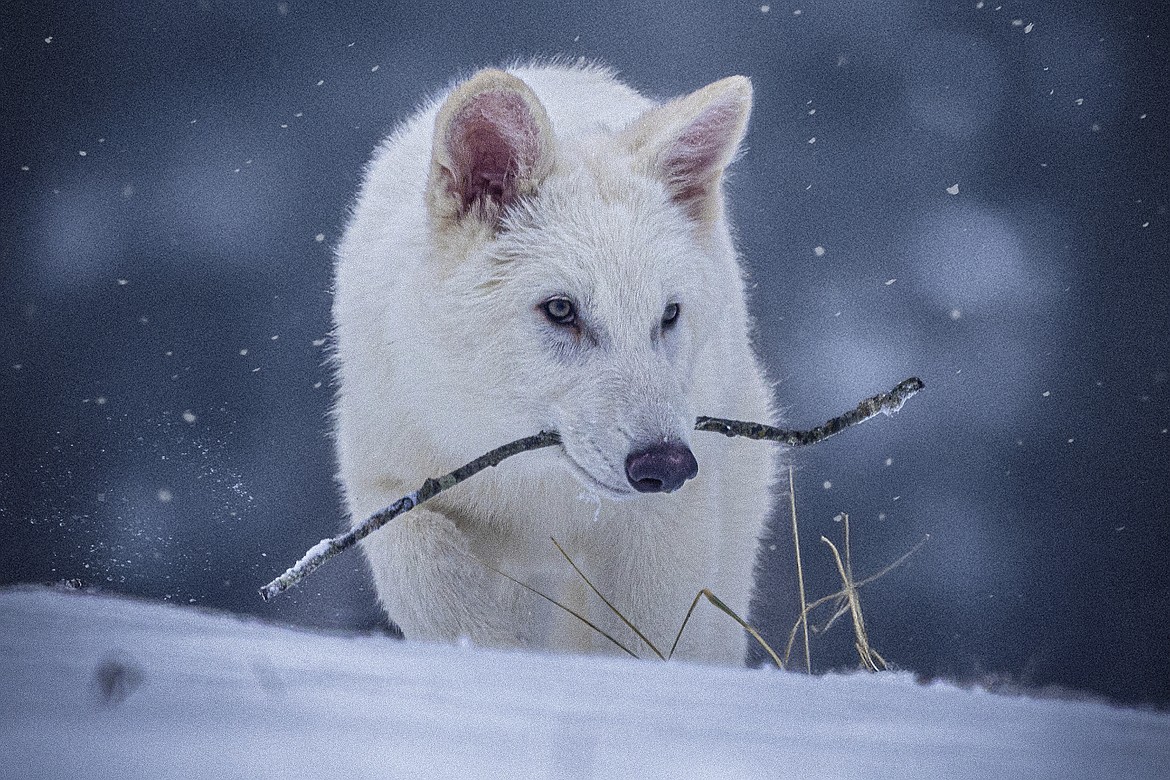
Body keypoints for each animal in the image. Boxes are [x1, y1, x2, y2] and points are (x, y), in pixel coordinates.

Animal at [332, 61, 778, 665]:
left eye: (668, 314)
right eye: (561, 309)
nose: (666, 464)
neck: (536, 486)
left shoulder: (662, 526)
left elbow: (647, 638)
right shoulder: (387, 483)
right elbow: (435, 584)